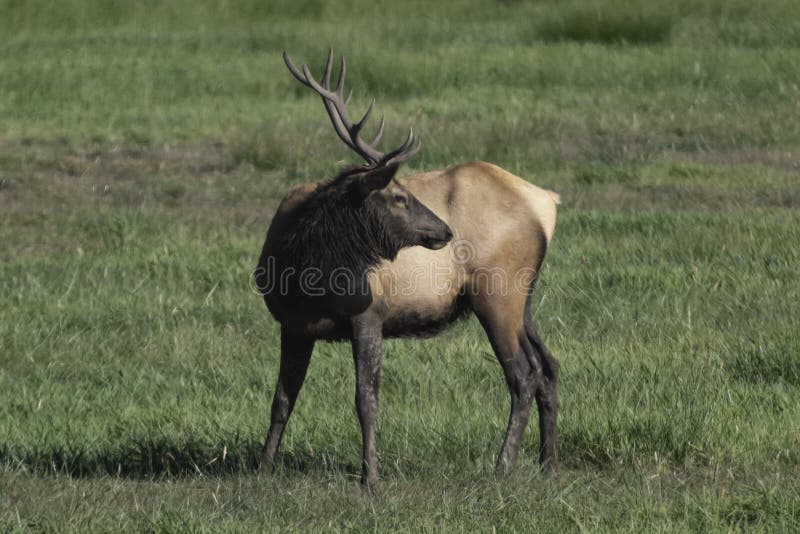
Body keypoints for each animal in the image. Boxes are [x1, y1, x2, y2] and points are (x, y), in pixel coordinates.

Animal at [255, 50, 560, 486]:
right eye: (399, 196)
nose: (444, 230)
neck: (305, 275)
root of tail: (547, 203)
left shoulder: (369, 312)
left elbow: (366, 398)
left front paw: (371, 476)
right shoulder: (292, 324)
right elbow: (282, 397)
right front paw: (264, 466)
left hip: (497, 294)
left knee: (524, 374)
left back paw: (503, 464)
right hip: (524, 299)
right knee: (548, 366)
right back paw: (548, 462)